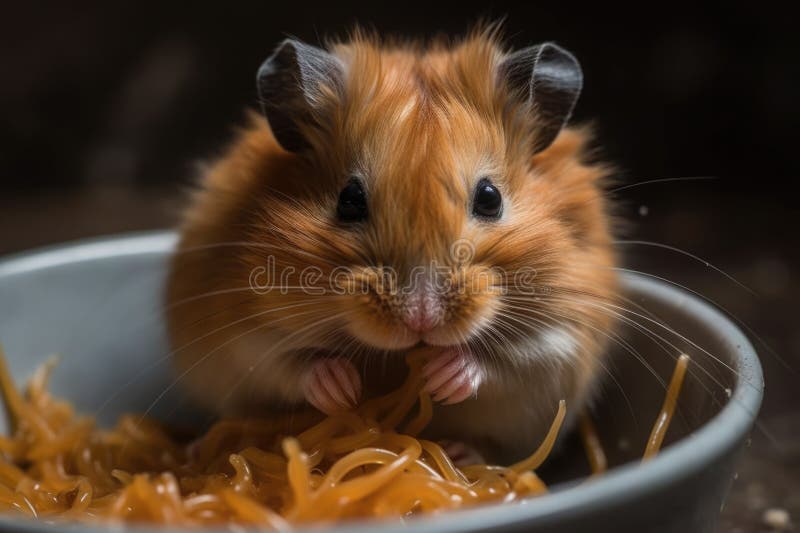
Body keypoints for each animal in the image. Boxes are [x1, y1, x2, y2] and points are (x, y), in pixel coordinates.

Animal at [165, 28, 617, 462]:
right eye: (349, 200)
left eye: (490, 198)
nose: (421, 321)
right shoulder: (236, 333)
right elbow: (288, 363)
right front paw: (344, 388)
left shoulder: (564, 338)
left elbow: (510, 361)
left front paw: (442, 377)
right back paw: (197, 449)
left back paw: (461, 454)